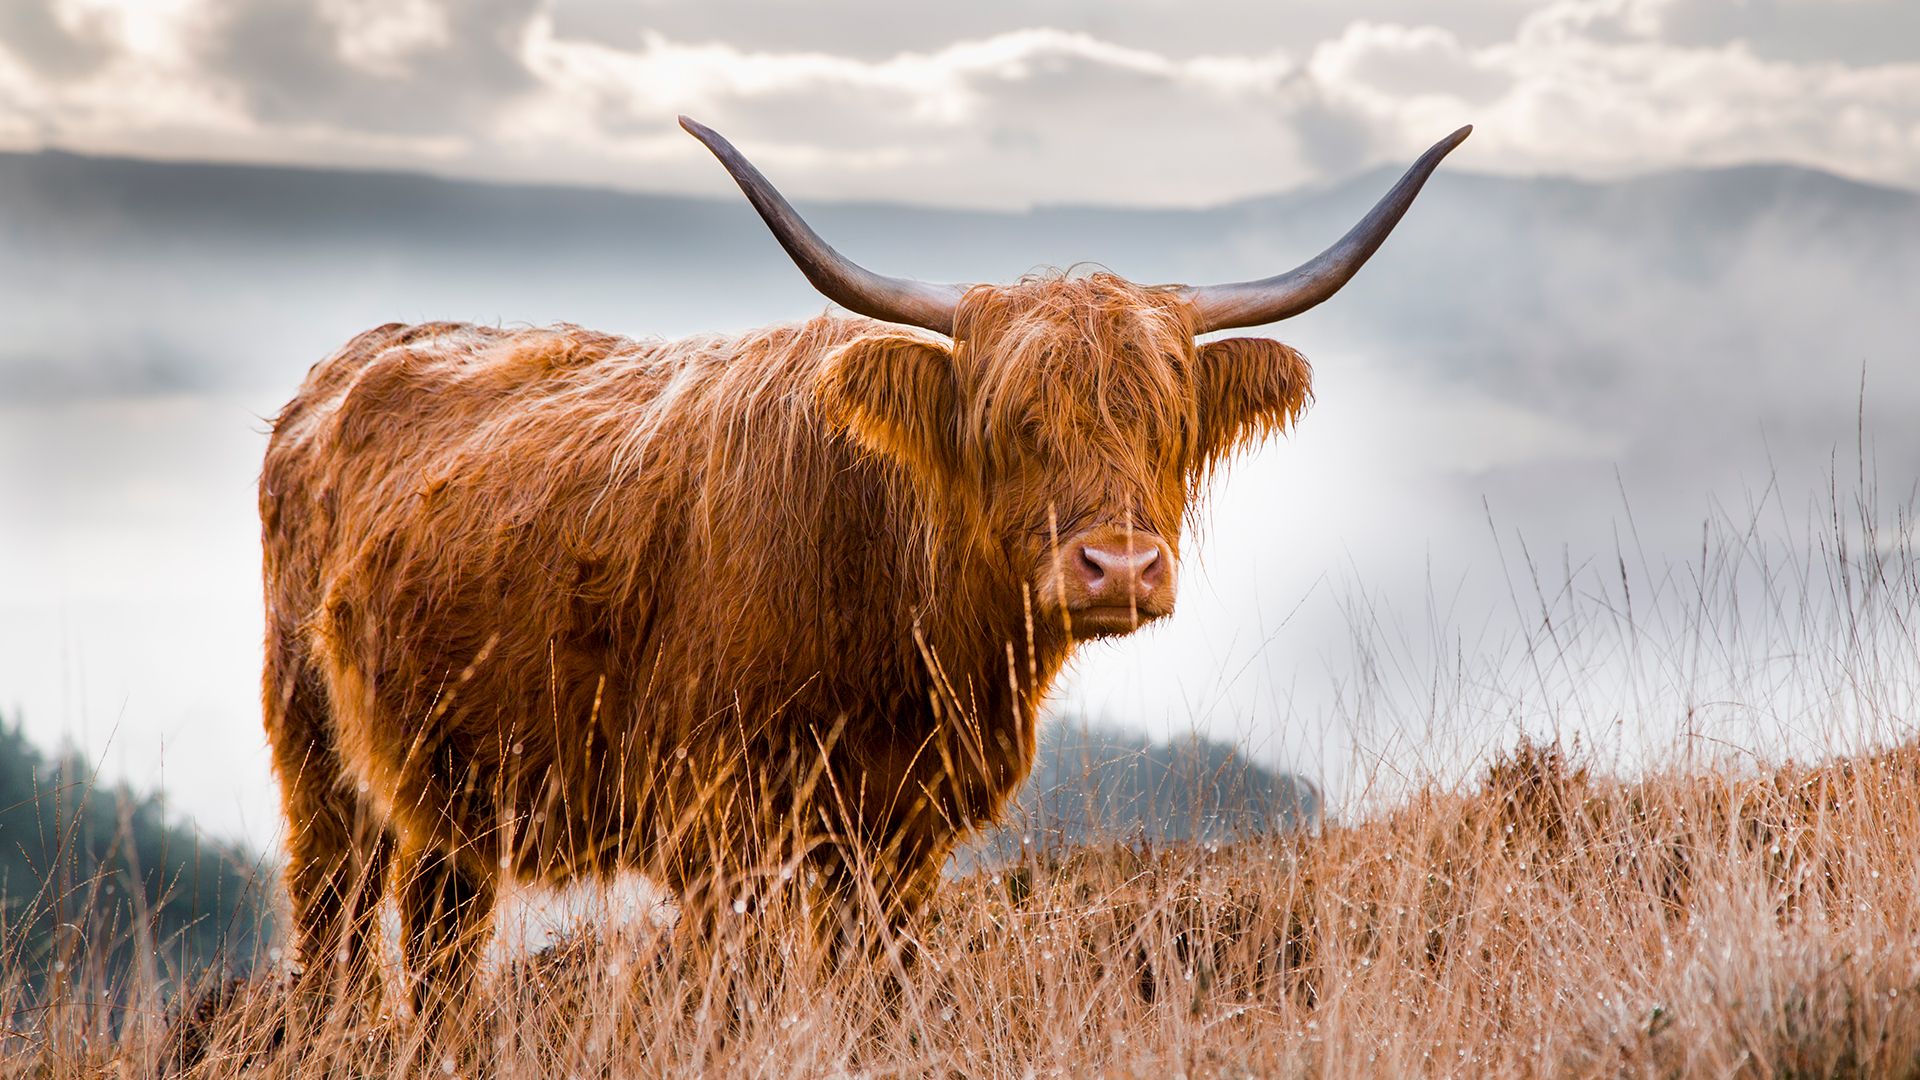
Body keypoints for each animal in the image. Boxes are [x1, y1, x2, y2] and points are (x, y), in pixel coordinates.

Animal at [259, 117, 1468, 1011]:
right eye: (1011, 422)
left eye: (1168, 423)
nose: (1119, 568)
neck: (894, 617)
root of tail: (345, 365)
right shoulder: (724, 826)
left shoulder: (902, 838)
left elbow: (876, 988)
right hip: (318, 758)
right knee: (334, 927)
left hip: (451, 795)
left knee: (440, 934)